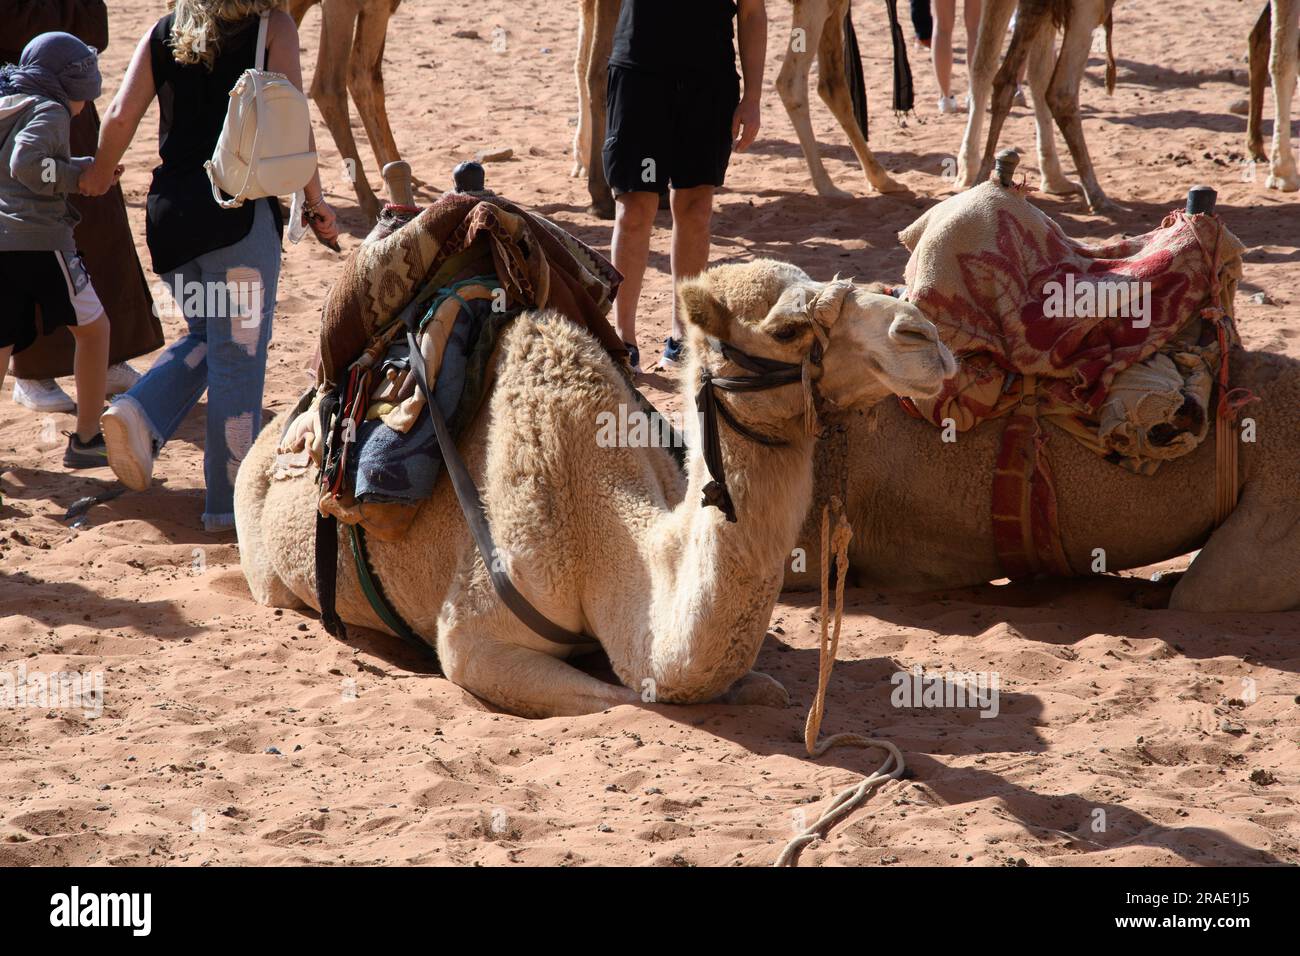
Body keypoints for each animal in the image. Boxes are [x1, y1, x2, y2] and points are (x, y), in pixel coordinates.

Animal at [234, 262, 955, 717]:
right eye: (786, 328)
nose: (926, 337)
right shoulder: (473, 640)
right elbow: (624, 698)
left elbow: (762, 686)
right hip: (265, 562)